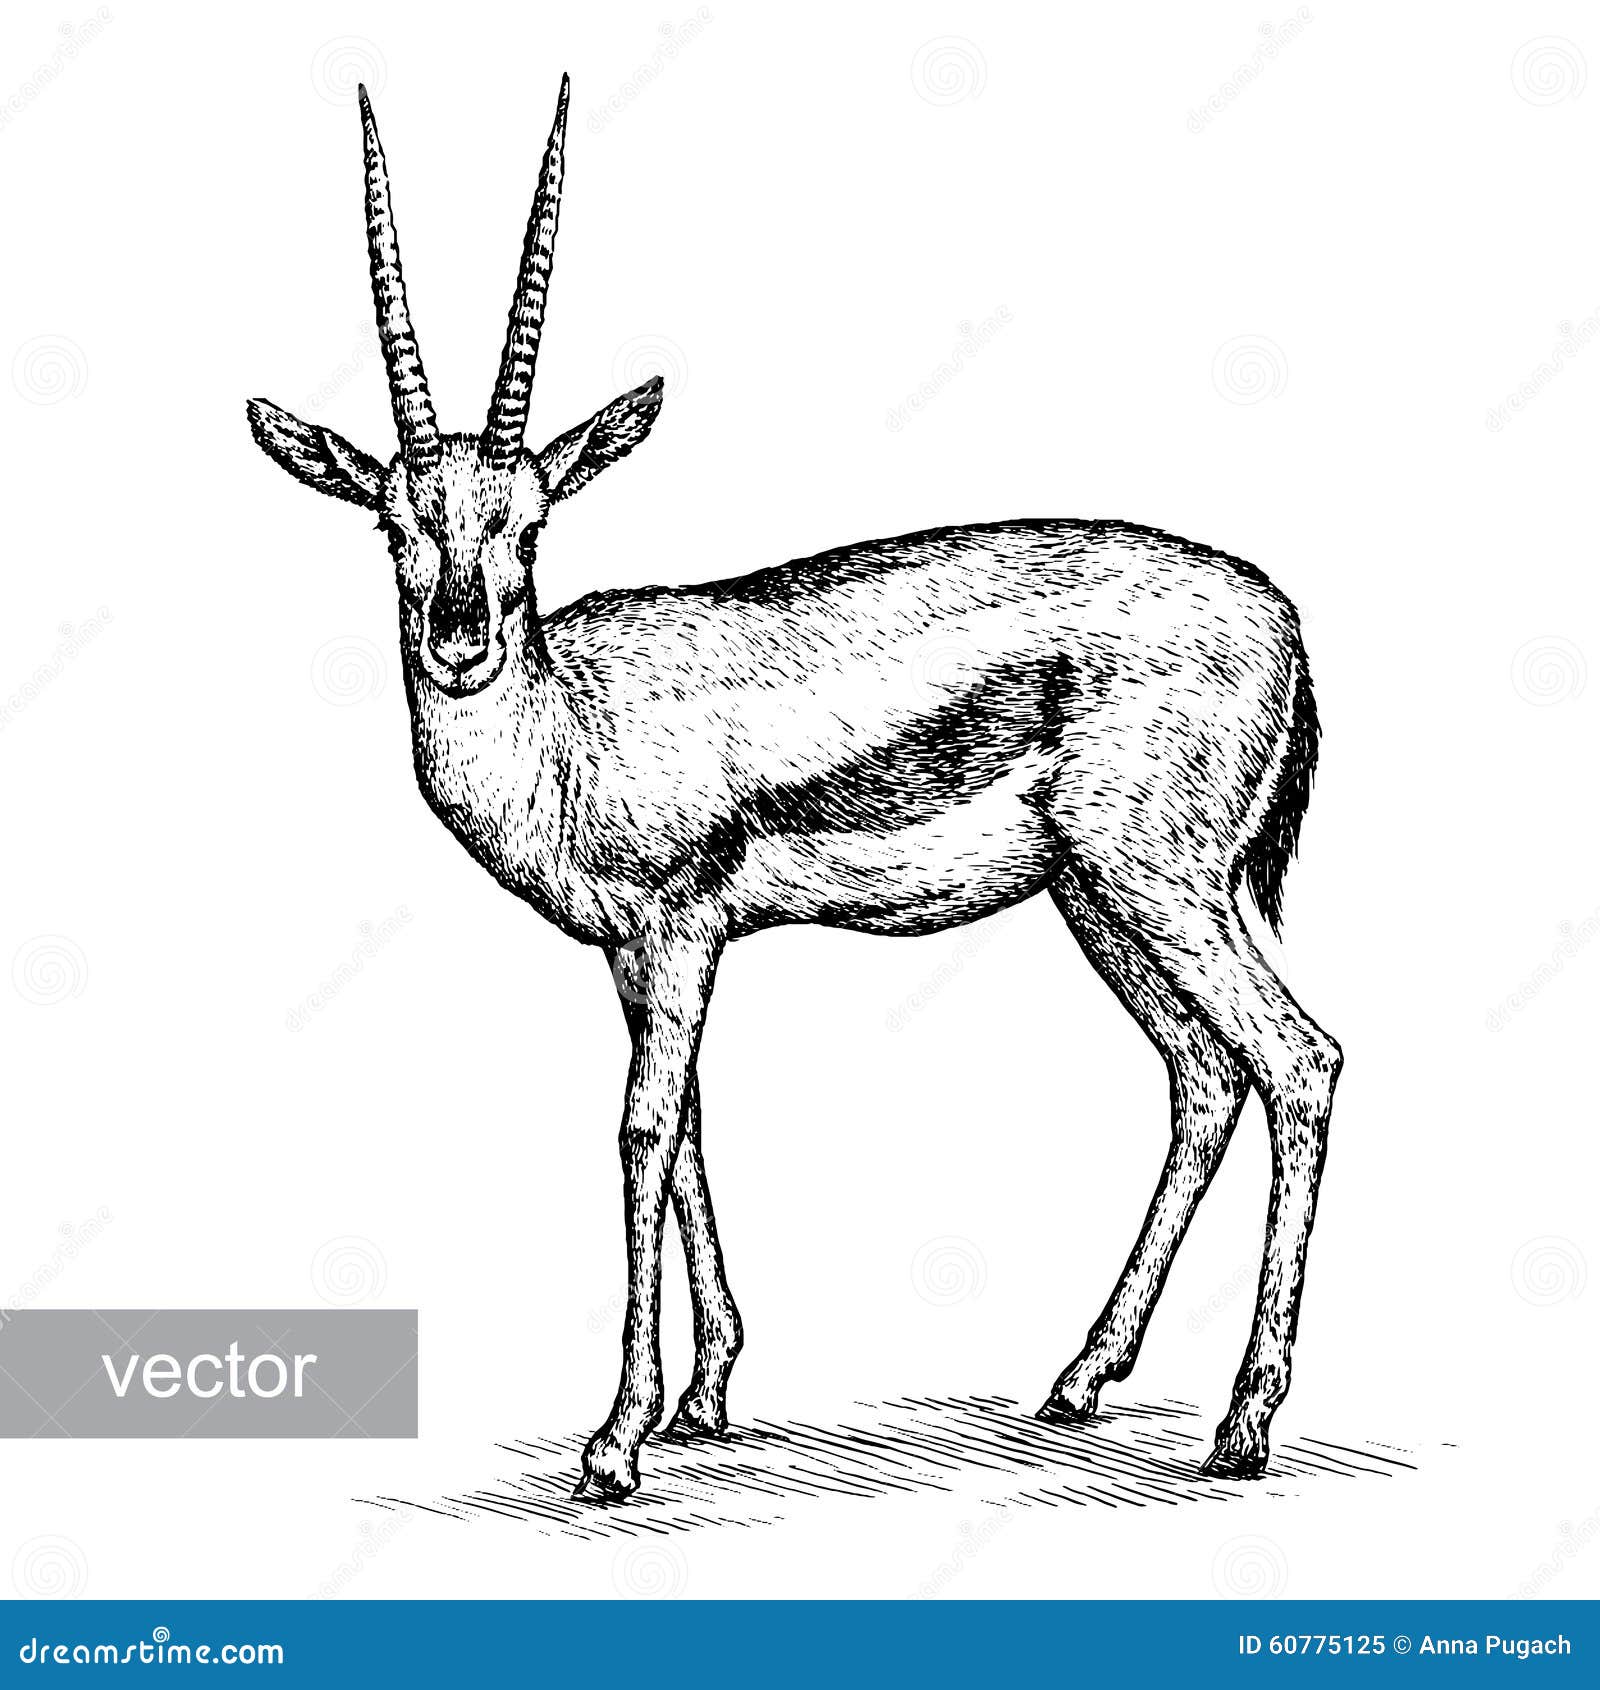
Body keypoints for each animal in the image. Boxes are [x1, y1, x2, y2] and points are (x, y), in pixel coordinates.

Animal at [247, 77, 1341, 1500]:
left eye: (529, 522)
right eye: (394, 521)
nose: (460, 639)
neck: (571, 722)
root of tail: (1283, 617)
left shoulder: (677, 929)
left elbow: (639, 1132)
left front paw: (615, 1439)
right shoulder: (643, 951)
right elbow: (690, 1131)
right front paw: (703, 1396)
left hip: (1161, 887)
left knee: (1298, 1060)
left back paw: (1241, 1426)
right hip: (1101, 899)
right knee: (1206, 1079)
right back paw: (1080, 1377)